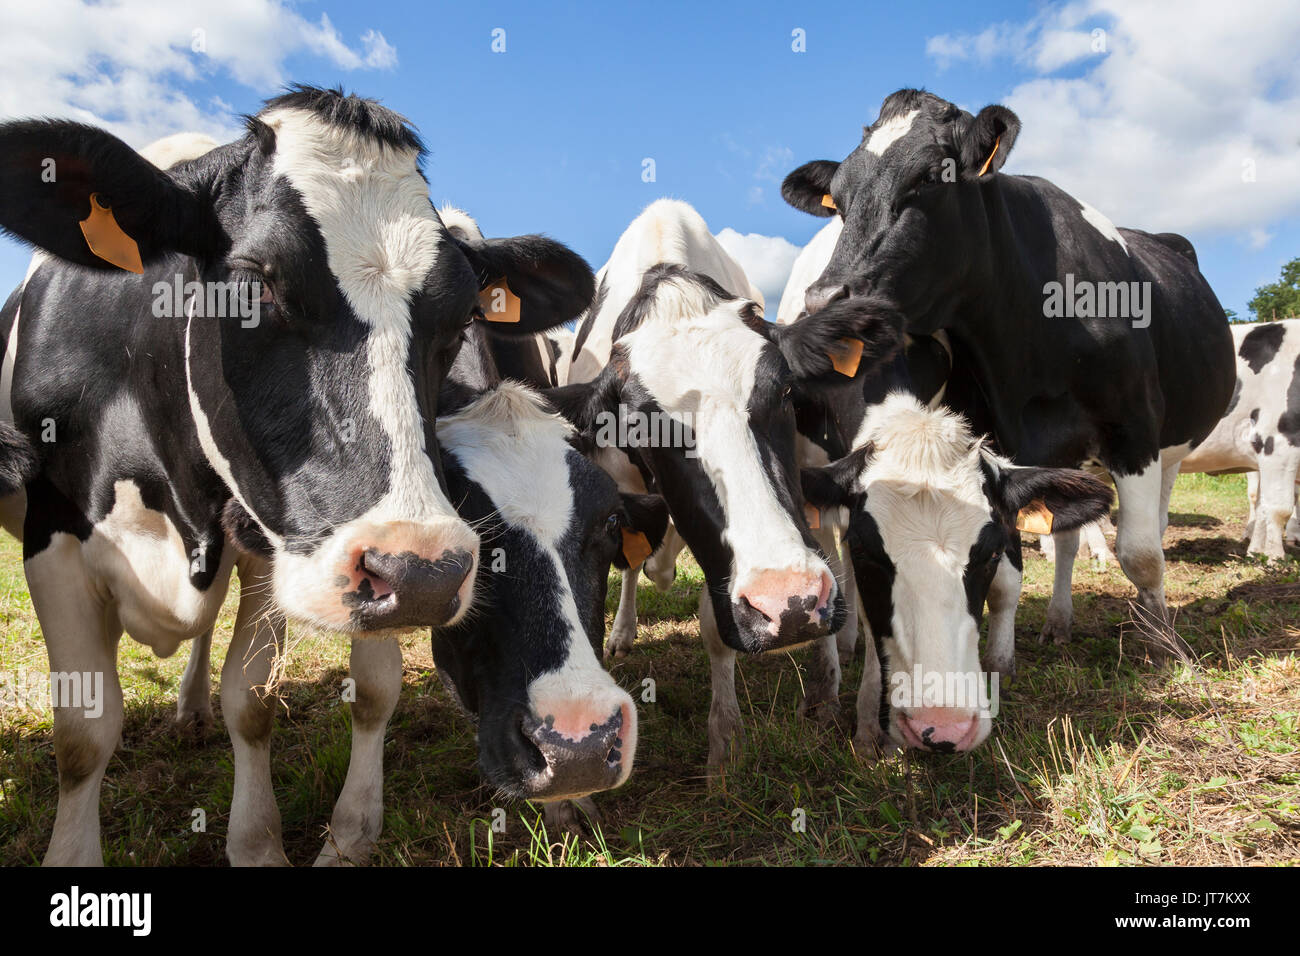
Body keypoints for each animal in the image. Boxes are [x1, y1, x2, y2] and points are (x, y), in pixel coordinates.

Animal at [0, 86, 594, 865]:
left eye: (466, 312)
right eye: (252, 286)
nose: (421, 573)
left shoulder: (270, 545)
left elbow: (253, 700)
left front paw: (266, 840)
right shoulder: (55, 540)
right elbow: (82, 735)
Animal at [782, 88, 1235, 658]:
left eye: (929, 179)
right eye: (837, 201)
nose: (824, 301)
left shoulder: (1133, 429)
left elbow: (1141, 554)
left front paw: (1164, 647)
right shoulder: (1002, 446)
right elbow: (1007, 572)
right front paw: (1001, 658)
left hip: (1169, 445)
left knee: (1154, 521)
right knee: (1066, 537)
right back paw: (1059, 620)